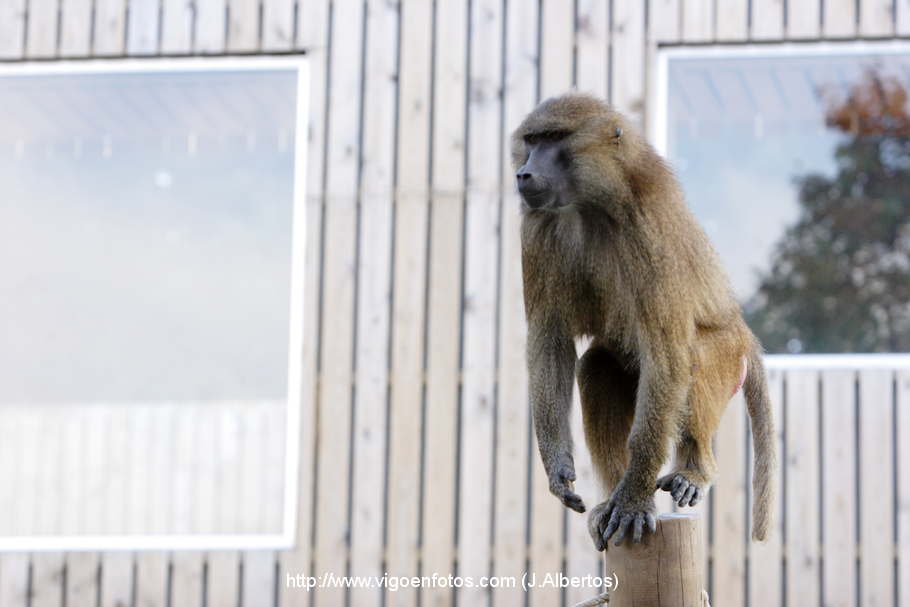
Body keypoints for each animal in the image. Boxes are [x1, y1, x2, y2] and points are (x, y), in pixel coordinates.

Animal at [512, 93, 776, 549]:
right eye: (532, 141)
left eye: (555, 138)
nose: (524, 173)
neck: (590, 206)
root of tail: (743, 329)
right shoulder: (537, 230)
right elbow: (551, 342)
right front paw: (559, 468)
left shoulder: (650, 232)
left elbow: (666, 351)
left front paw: (635, 501)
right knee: (598, 367)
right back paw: (609, 499)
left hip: (728, 350)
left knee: (692, 357)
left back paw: (693, 472)